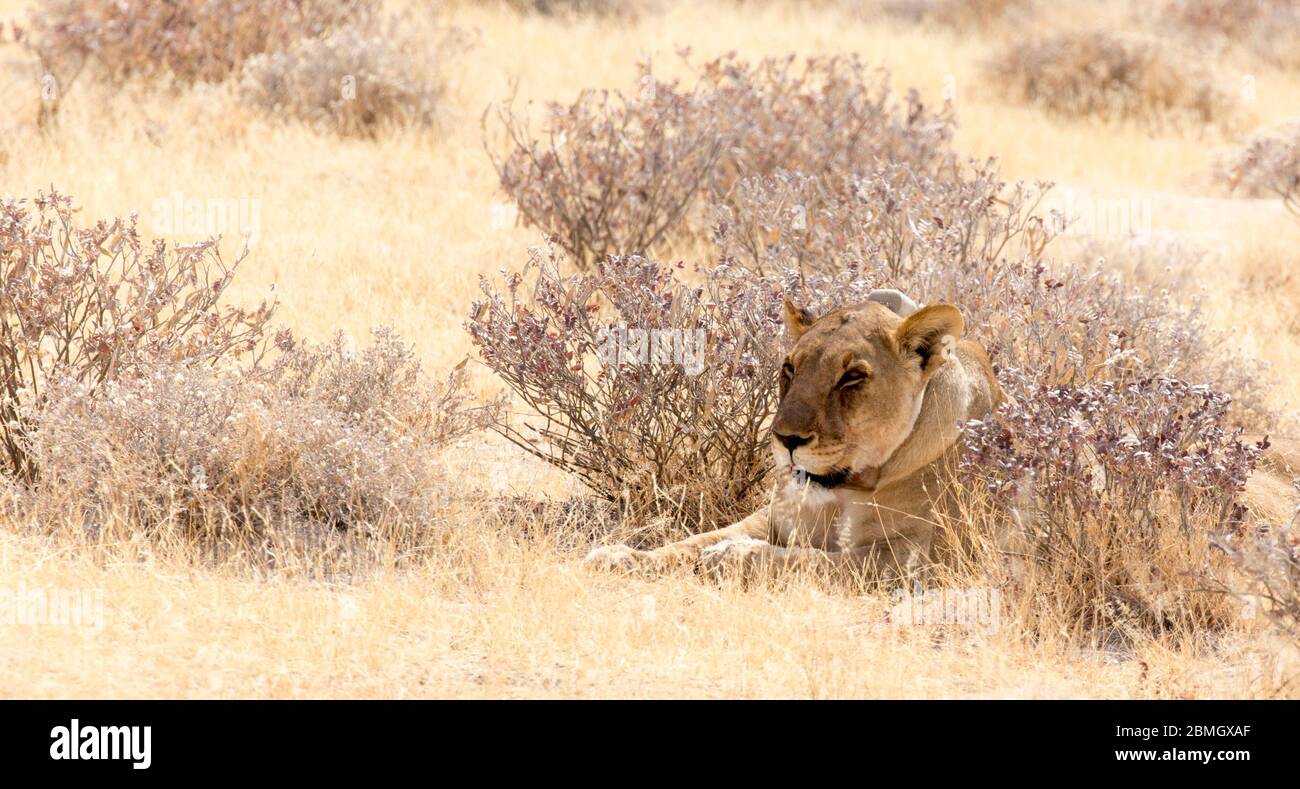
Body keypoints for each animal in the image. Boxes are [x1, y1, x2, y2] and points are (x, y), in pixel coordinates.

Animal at [584, 289, 1003, 581]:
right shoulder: (770, 519)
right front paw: (619, 556)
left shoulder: (918, 559)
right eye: (790, 368)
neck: (845, 493)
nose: (785, 439)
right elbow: (694, 541)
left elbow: (812, 562)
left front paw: (733, 556)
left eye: (852, 377)